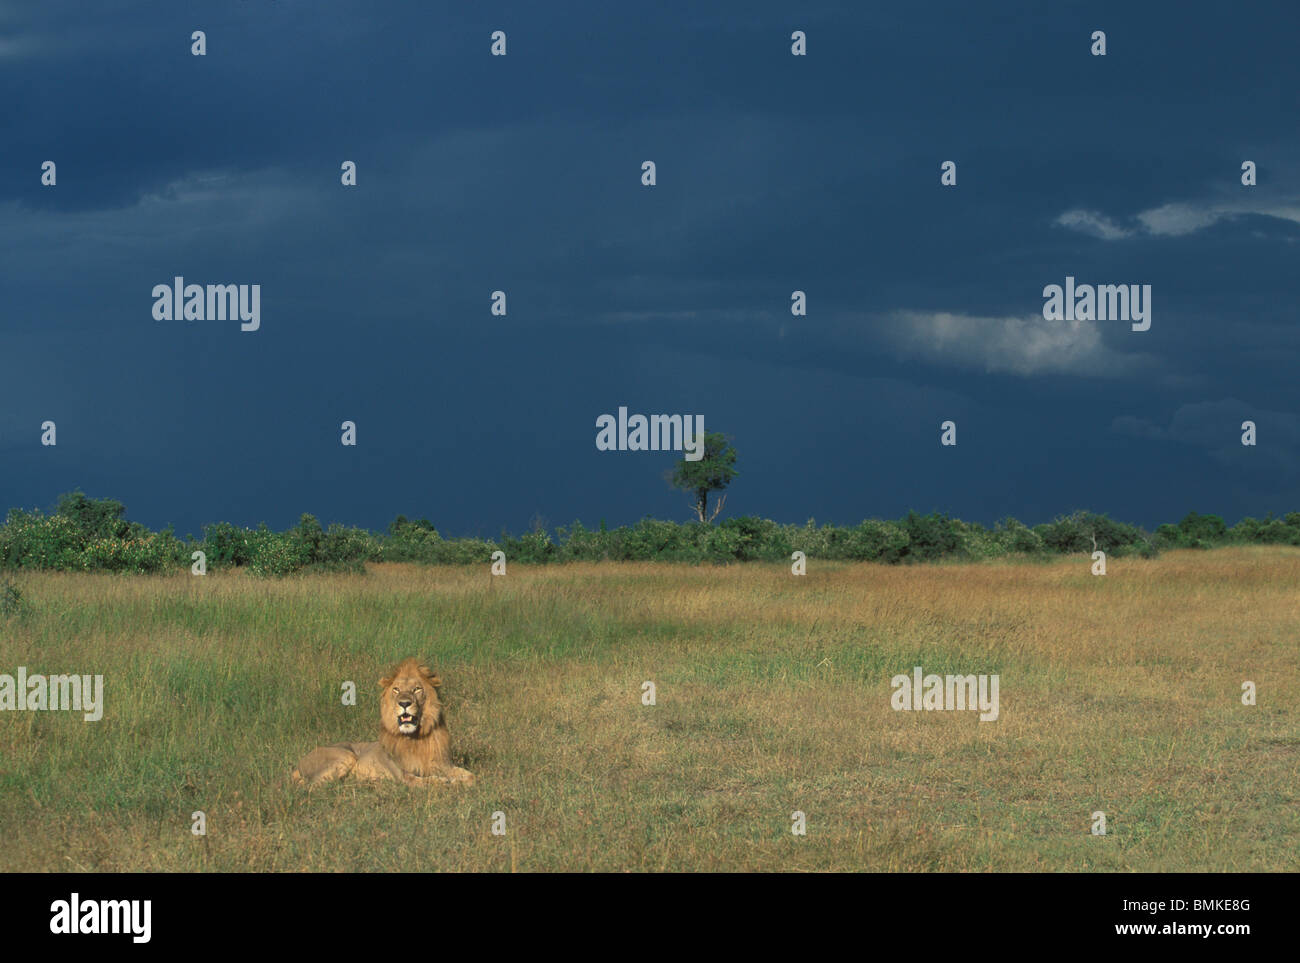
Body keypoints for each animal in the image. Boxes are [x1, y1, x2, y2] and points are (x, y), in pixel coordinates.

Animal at [291, 657, 475, 788]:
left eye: (417, 689)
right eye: (396, 690)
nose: (404, 703)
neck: (415, 739)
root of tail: (300, 762)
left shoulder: (443, 765)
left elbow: (471, 776)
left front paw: (461, 781)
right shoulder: (403, 776)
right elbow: (427, 781)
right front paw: (446, 782)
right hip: (346, 756)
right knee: (314, 786)